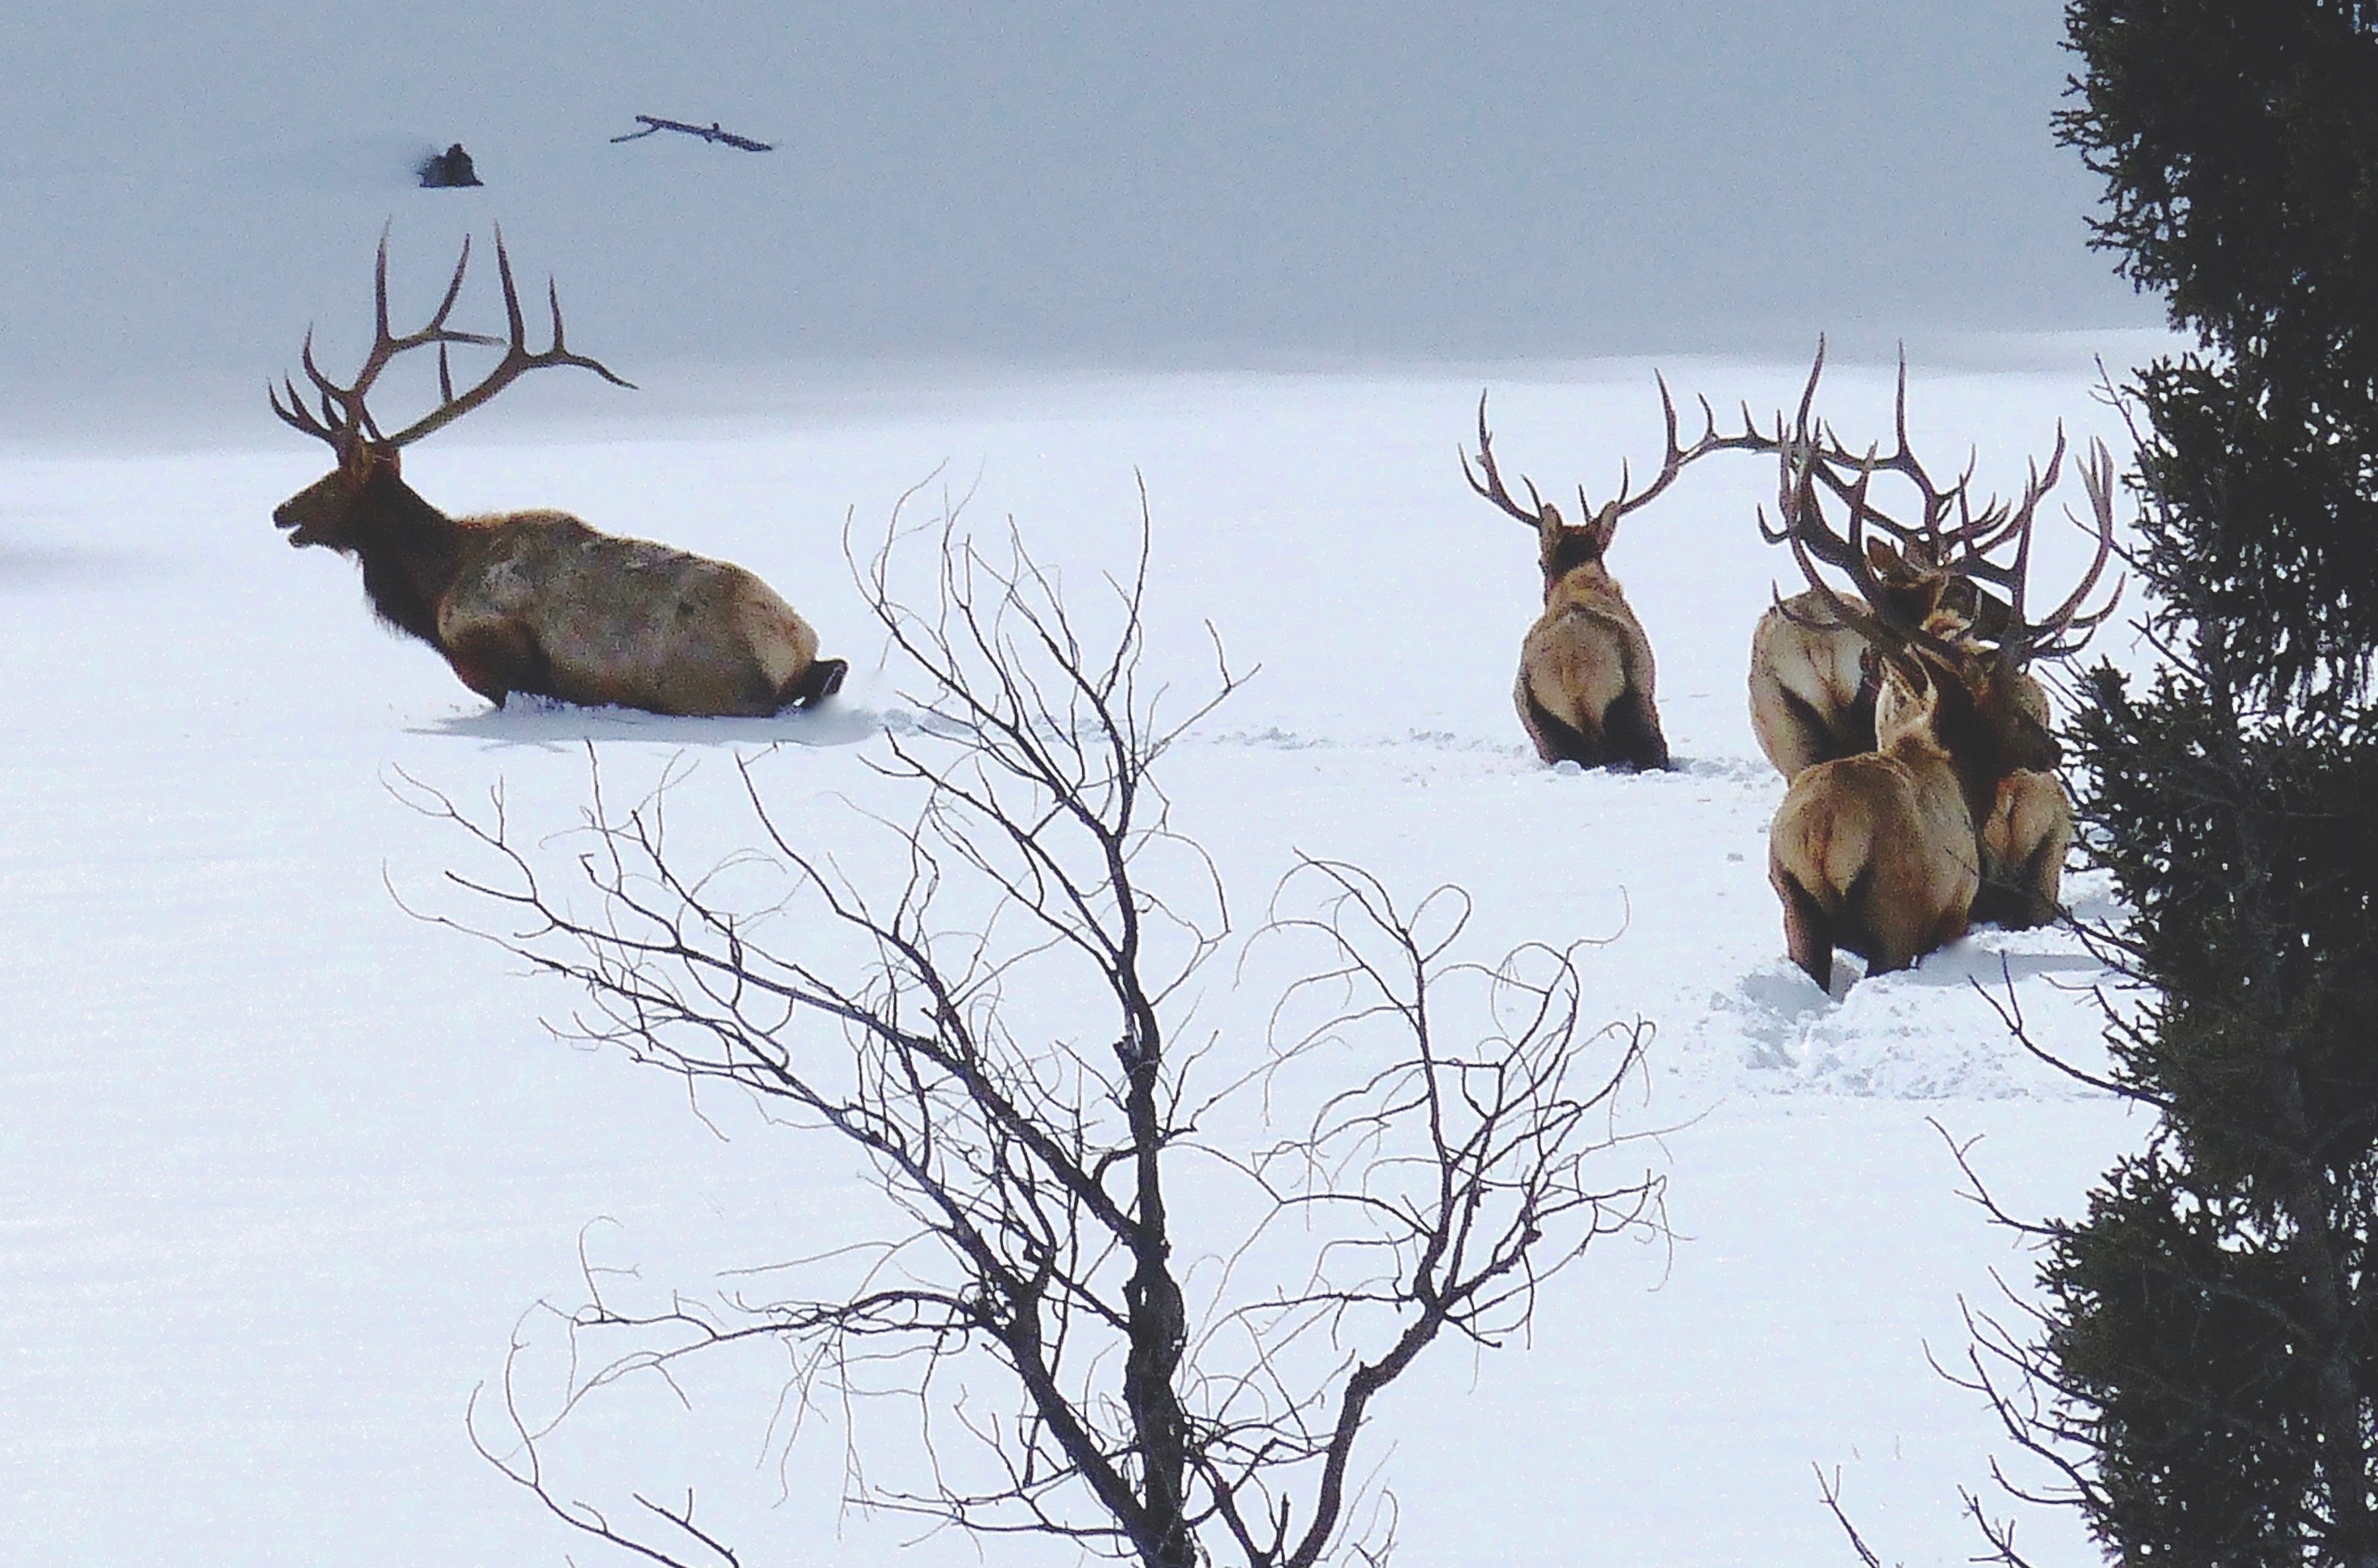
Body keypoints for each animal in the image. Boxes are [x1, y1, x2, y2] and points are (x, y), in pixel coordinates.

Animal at [270, 230, 846, 718]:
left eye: (333, 483)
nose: (280, 511)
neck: (435, 587)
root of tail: (797, 643)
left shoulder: (490, 653)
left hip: (715, 689)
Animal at [1764, 427, 2117, 989]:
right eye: (2016, 707)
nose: (2054, 751)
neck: (1967, 781)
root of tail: (1821, 835)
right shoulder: (1952, 912)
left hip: (1795, 905)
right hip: (1897, 911)